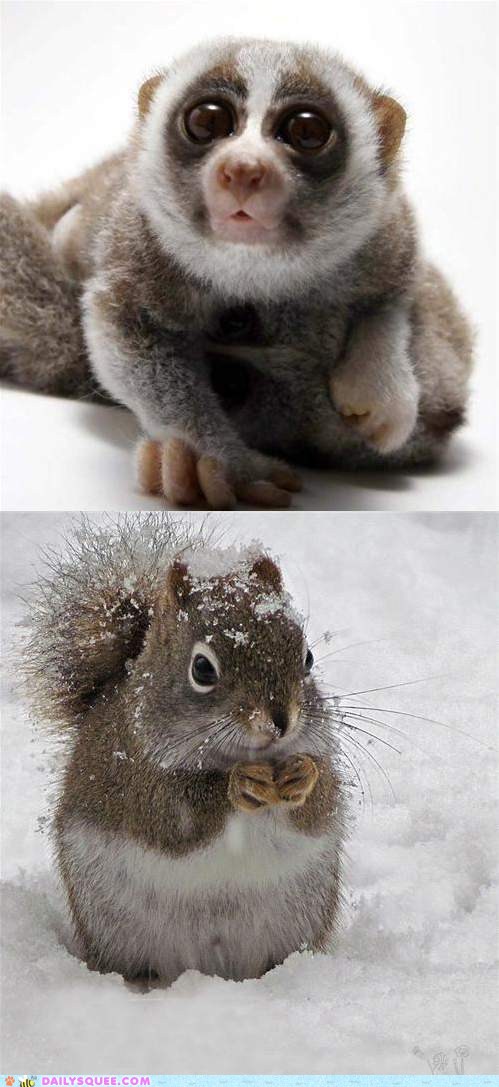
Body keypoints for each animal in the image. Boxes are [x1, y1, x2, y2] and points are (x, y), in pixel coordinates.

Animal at [0, 38, 473, 508]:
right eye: (207, 120)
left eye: (306, 131)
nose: (244, 169)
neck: (261, 268)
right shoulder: (141, 240)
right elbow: (124, 325)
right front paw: (214, 461)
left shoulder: (387, 233)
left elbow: (393, 295)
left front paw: (379, 391)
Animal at [23, 516, 346, 984]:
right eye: (202, 669)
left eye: (307, 657)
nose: (280, 721)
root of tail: (210, 969)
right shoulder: (134, 772)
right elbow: (173, 817)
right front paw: (237, 785)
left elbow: (318, 809)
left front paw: (303, 776)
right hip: (117, 928)